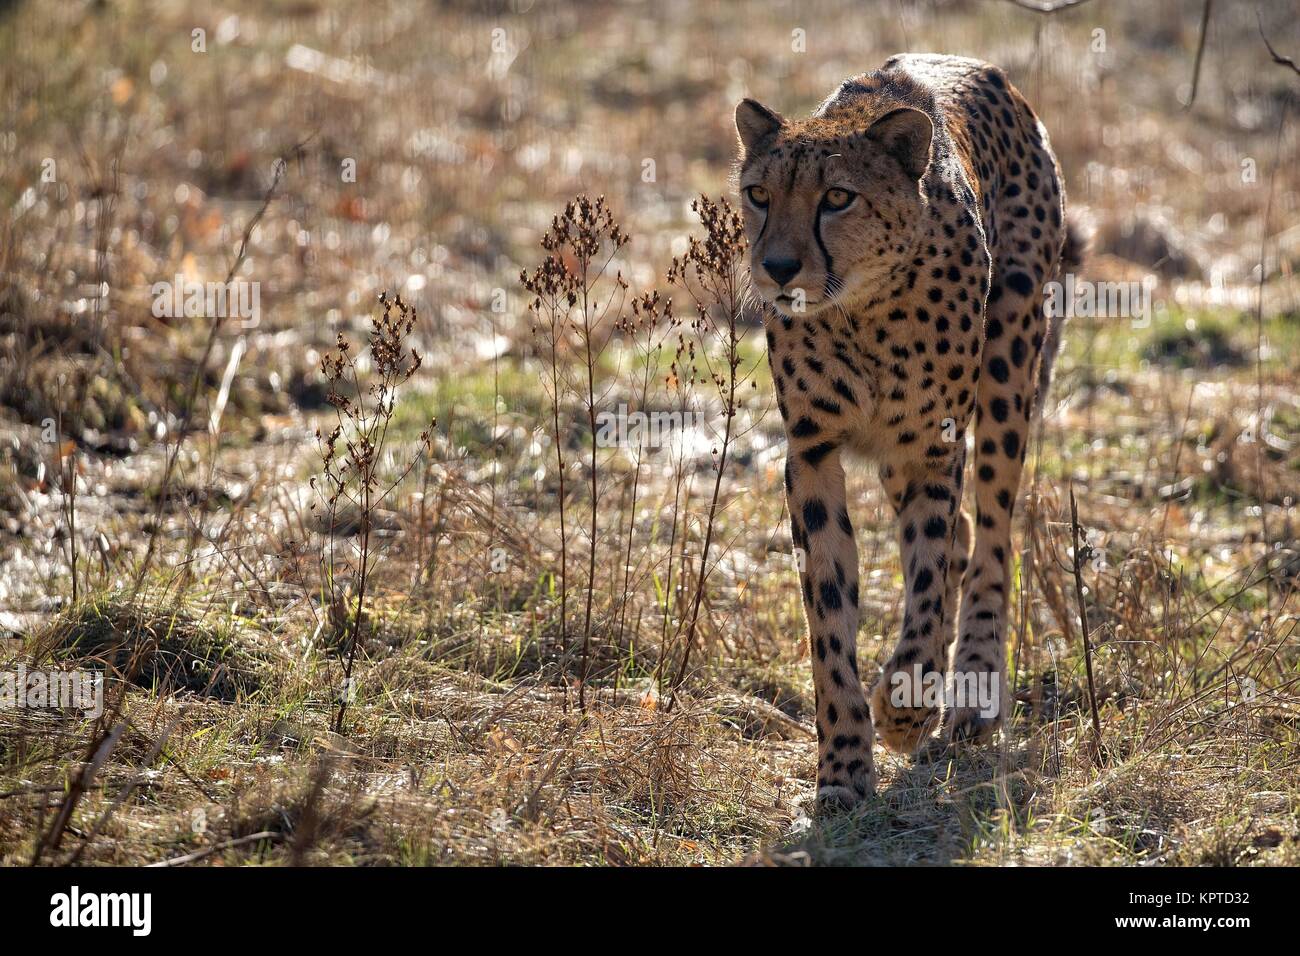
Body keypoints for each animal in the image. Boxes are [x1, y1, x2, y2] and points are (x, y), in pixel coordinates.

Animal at [734, 53, 1083, 808]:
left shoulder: (931, 448)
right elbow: (829, 617)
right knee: (963, 536)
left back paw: (973, 692)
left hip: (1009, 364)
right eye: (758, 194)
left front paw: (904, 708)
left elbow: (926, 586)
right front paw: (842, 769)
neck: (861, 310)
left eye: (838, 197)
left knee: (990, 536)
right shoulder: (811, 452)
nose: (777, 269)